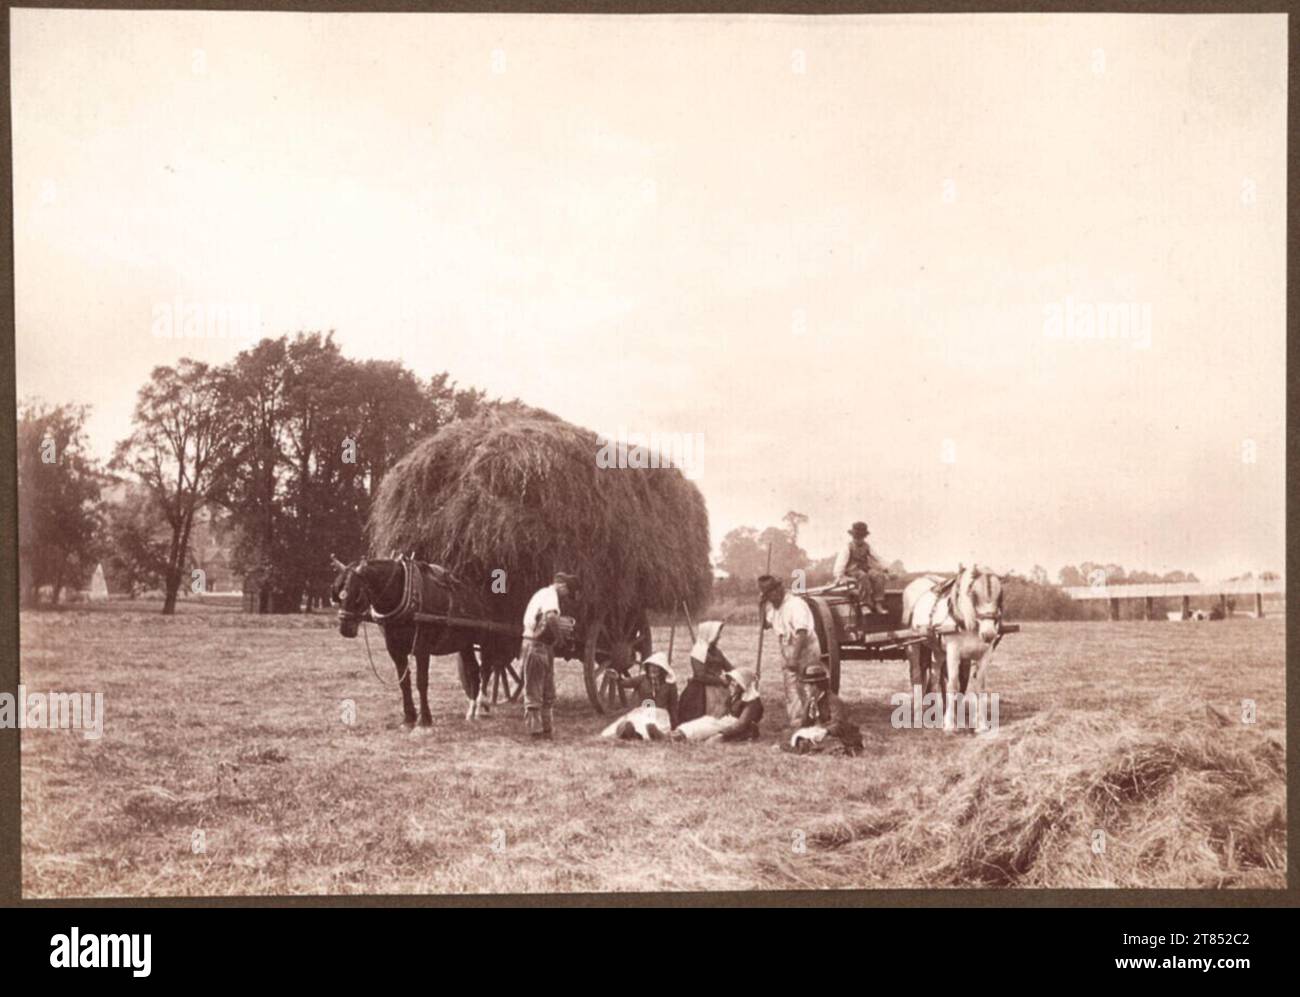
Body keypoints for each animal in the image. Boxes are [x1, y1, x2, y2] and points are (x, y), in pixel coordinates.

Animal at [330, 555, 516, 730]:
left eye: (357, 595)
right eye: (338, 593)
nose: (345, 629)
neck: (407, 595)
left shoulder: (422, 648)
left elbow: (421, 682)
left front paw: (424, 719)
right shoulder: (395, 650)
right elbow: (404, 682)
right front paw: (408, 718)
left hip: (487, 639)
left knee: (488, 669)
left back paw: (481, 705)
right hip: (465, 644)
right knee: (473, 671)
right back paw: (472, 710)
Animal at [901, 565, 1005, 735]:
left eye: (1000, 595)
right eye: (974, 595)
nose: (989, 634)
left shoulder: (984, 654)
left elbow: (978, 686)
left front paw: (980, 725)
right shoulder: (953, 652)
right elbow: (953, 685)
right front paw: (950, 725)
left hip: (937, 651)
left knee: (934, 678)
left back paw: (934, 714)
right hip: (913, 645)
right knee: (917, 676)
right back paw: (917, 716)